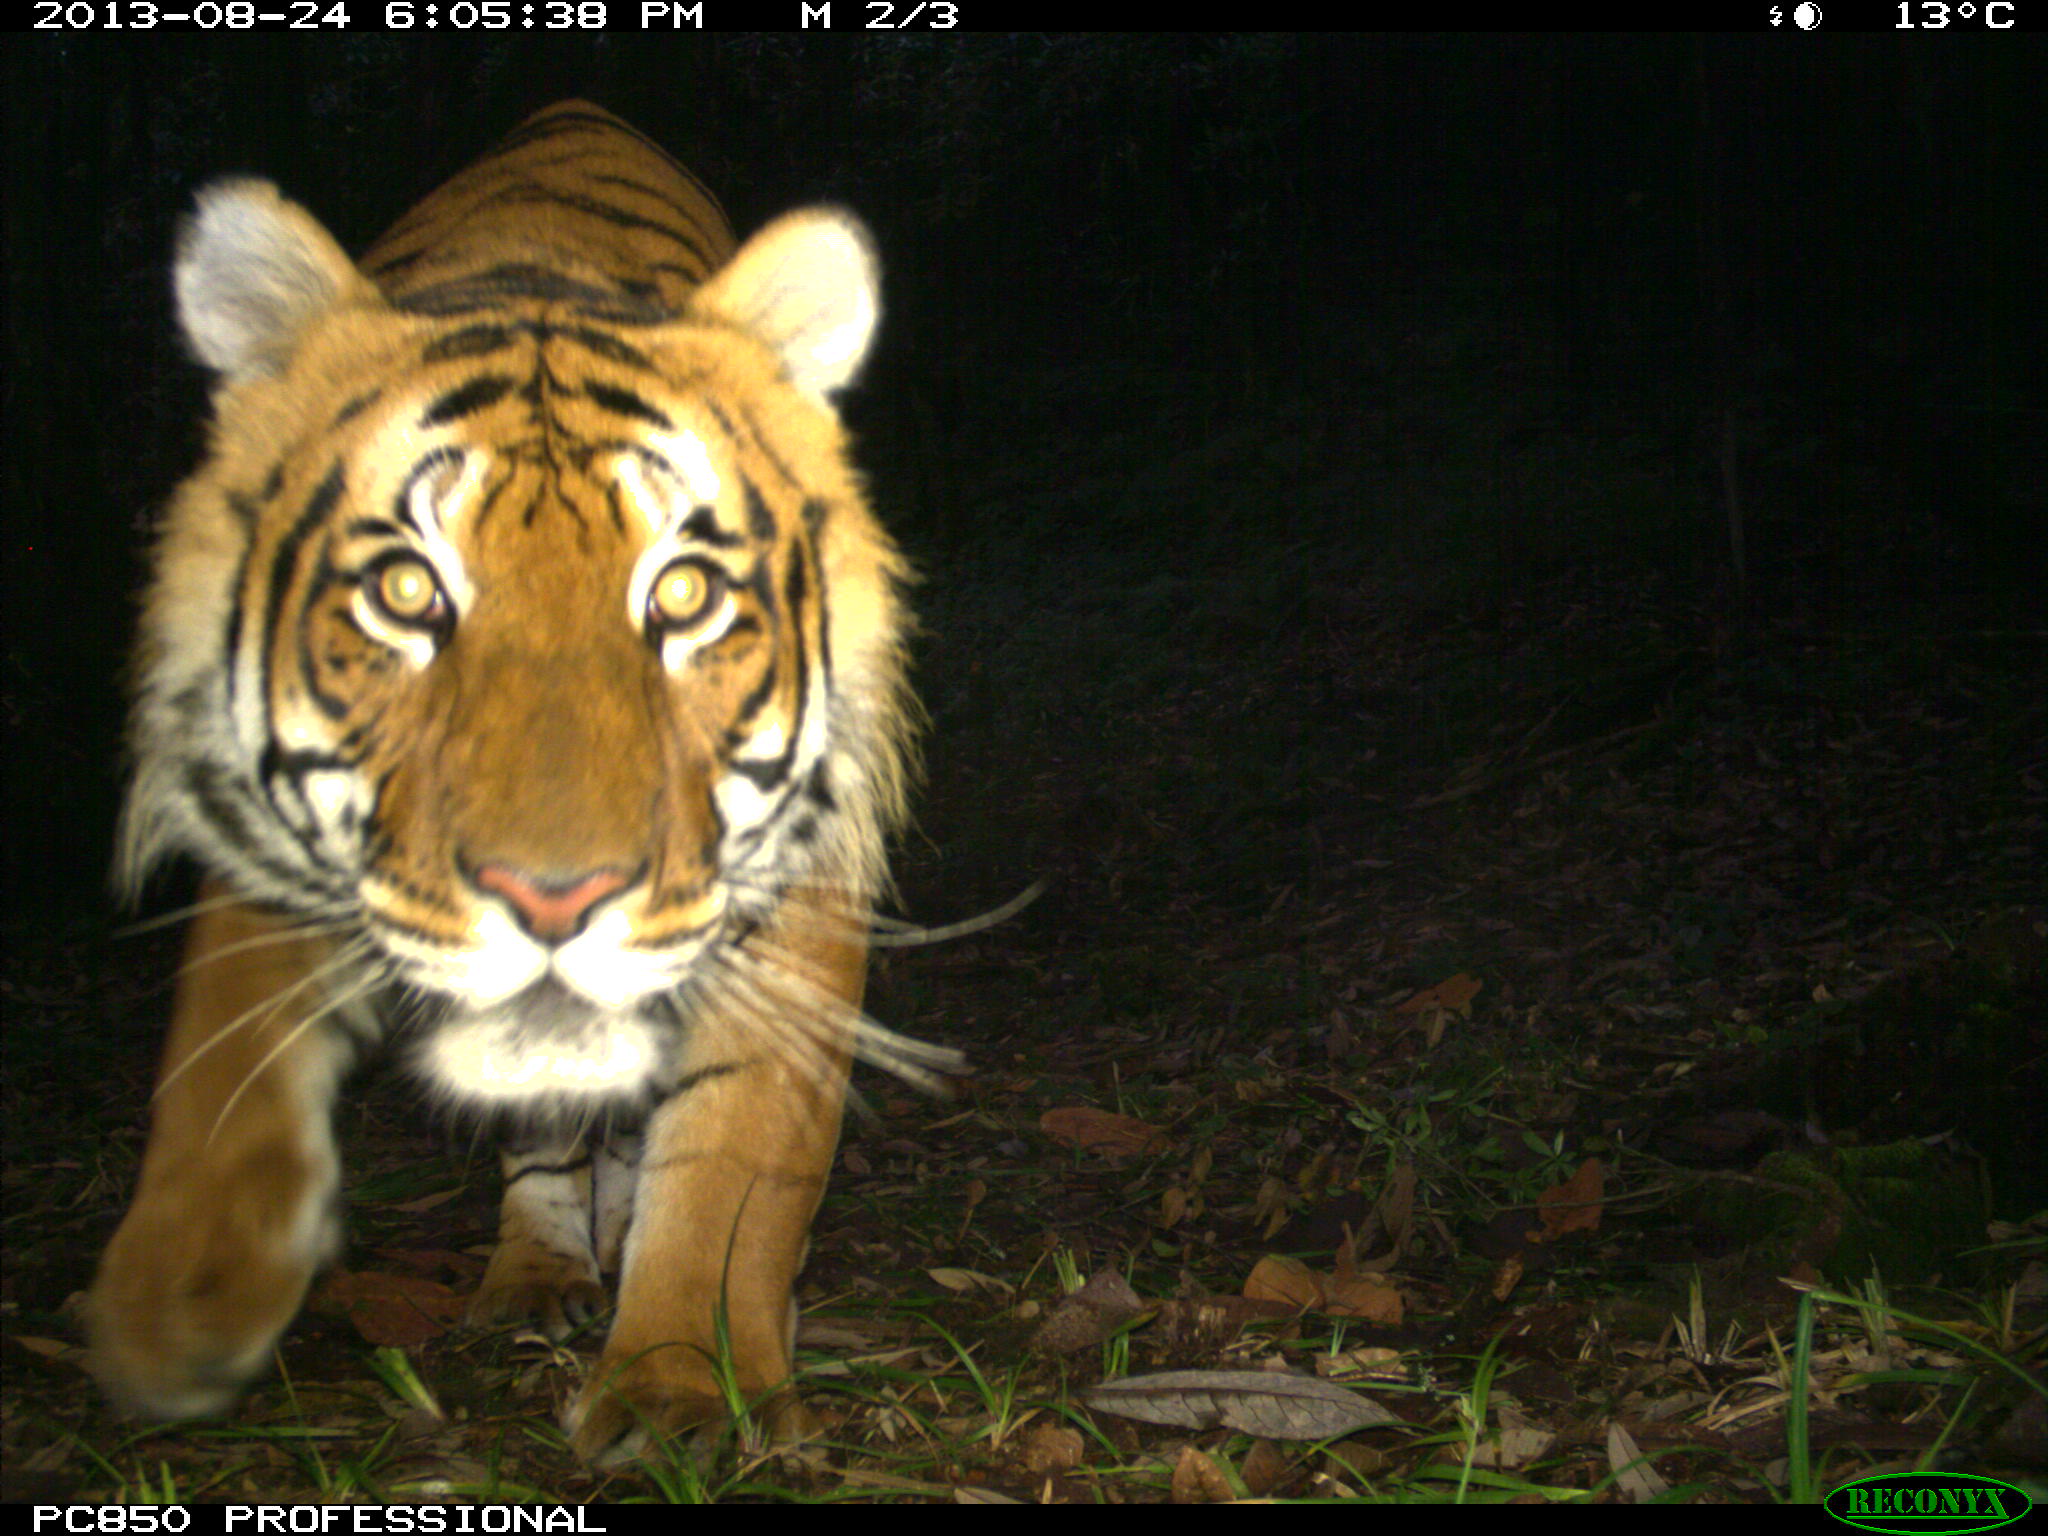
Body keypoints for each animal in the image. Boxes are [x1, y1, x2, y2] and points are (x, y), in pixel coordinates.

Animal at [85, 100, 951, 1463]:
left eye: (684, 596)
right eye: (404, 592)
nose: (556, 897)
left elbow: (736, 1153)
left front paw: (676, 1387)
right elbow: (225, 1063)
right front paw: (182, 1304)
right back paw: (534, 1279)